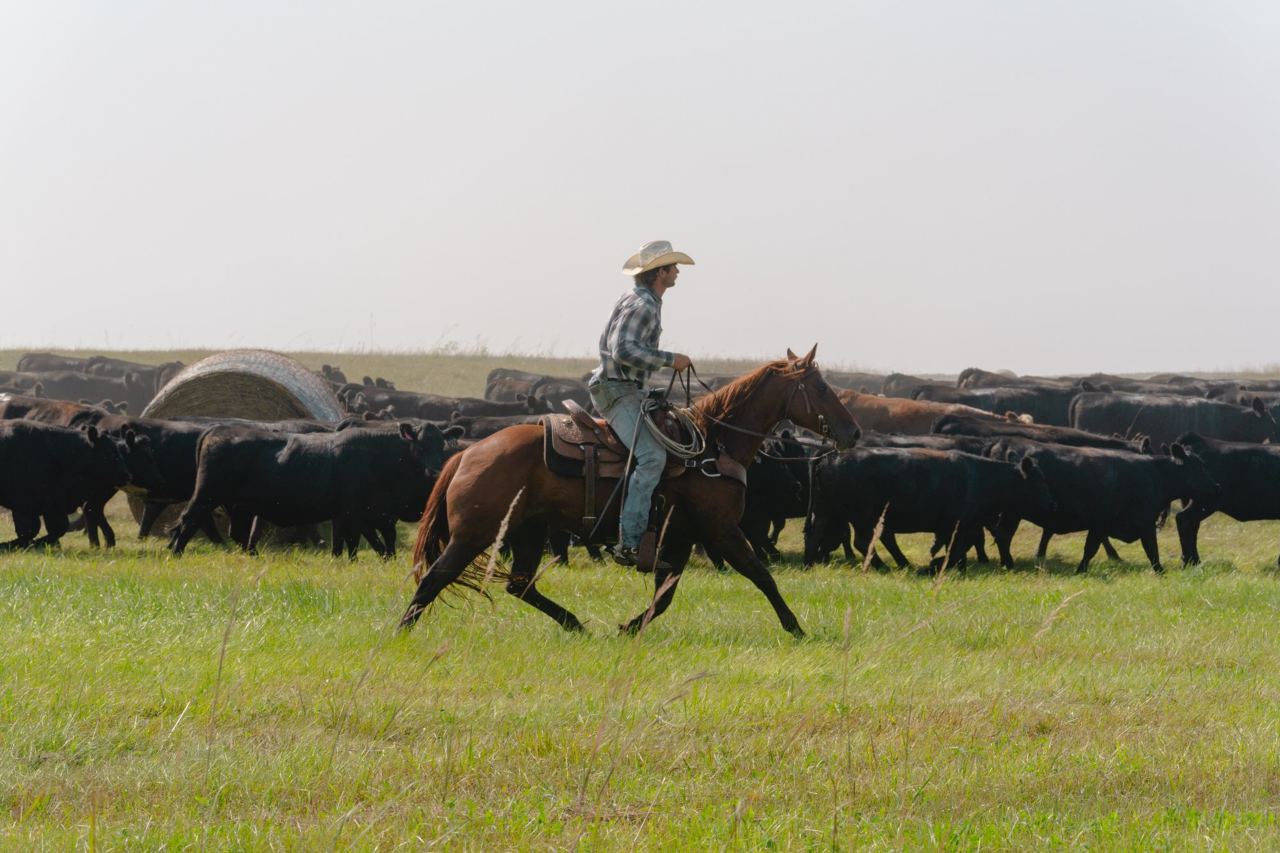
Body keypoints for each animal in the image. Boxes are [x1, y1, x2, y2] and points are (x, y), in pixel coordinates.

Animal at [988, 438, 1220, 573]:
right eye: (1198, 466)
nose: (1216, 486)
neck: (1154, 475)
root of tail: (1003, 445)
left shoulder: (1103, 525)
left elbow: (1092, 548)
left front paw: (1081, 569)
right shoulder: (1140, 522)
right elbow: (1151, 549)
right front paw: (1161, 571)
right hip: (1012, 512)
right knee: (1003, 535)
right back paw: (1008, 564)